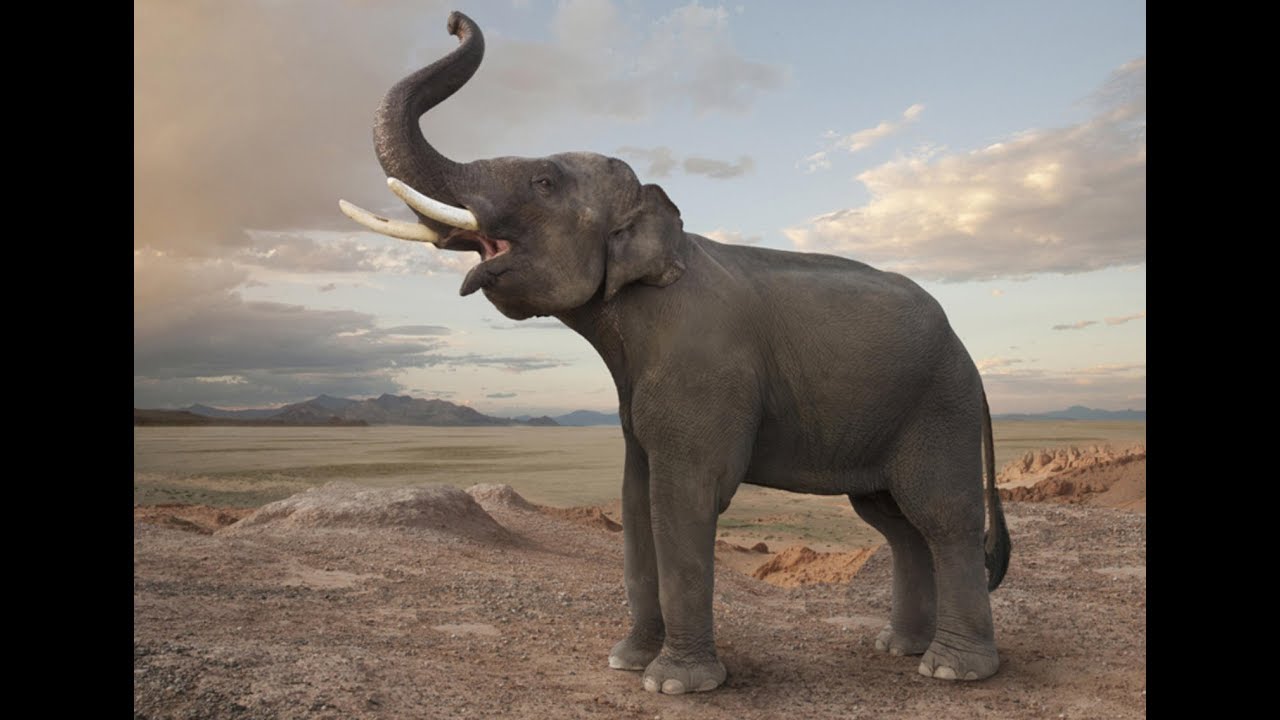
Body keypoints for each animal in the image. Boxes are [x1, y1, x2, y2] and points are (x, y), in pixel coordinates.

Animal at [340, 10, 1011, 695]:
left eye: (544, 182)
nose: (452, 21)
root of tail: (970, 359)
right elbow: (638, 501)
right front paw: (628, 661)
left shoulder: (700, 372)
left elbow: (684, 500)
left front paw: (675, 684)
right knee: (895, 523)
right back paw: (900, 648)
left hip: (938, 406)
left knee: (942, 518)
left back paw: (951, 669)